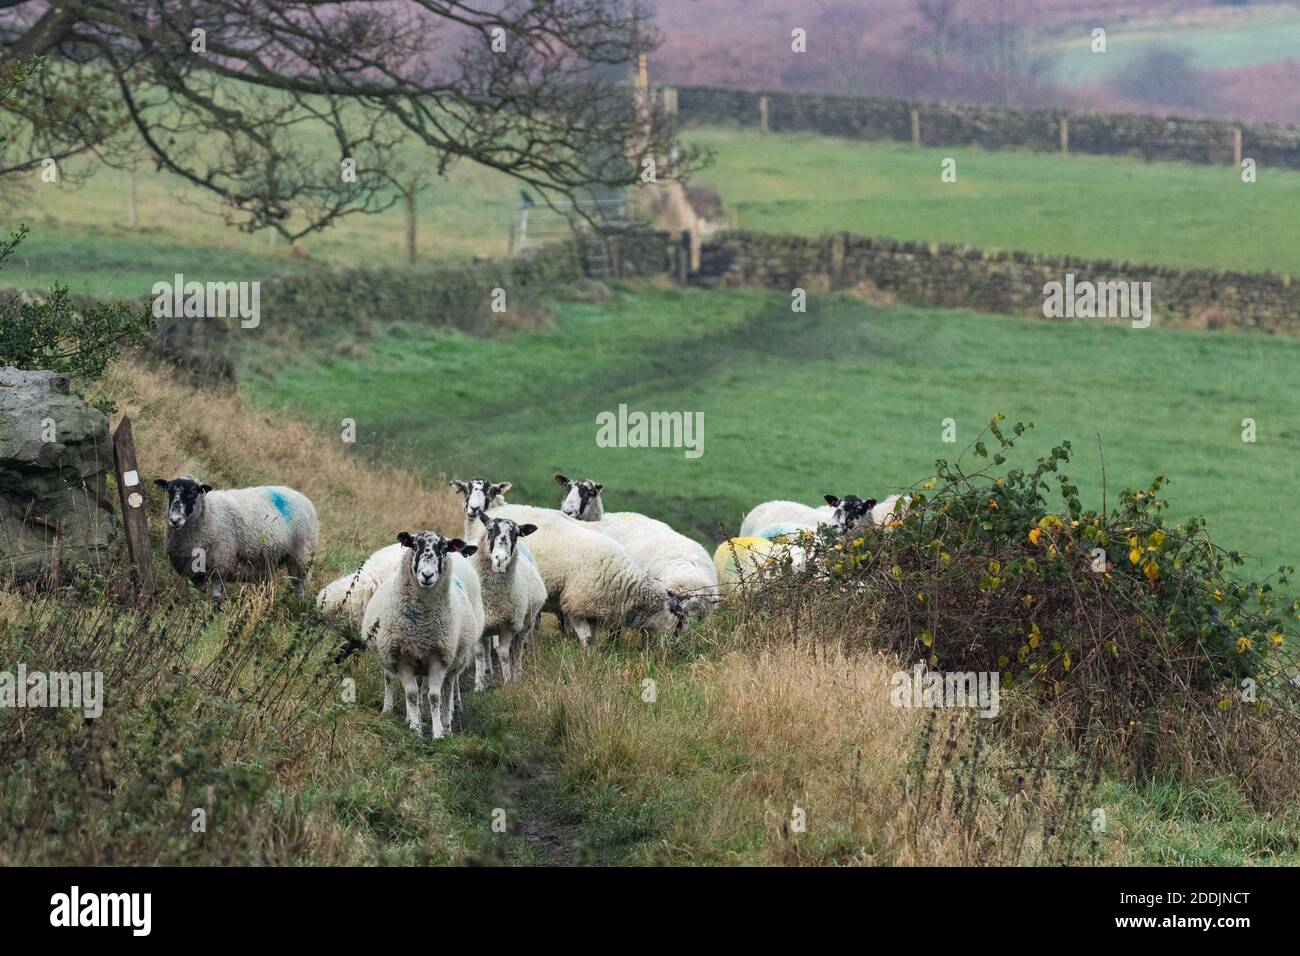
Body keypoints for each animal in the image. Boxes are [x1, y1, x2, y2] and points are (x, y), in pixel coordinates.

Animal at [153, 476, 319, 600]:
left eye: (193, 492)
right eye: (169, 491)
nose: (174, 520)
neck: (210, 514)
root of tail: (301, 496)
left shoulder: (221, 564)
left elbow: (215, 598)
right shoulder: (195, 573)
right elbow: (201, 596)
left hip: (300, 555)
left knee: (299, 585)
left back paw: (298, 604)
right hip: (268, 562)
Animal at [363, 531, 484, 738]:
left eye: (444, 549)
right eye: (414, 545)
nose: (427, 575)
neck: (421, 626)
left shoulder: (439, 657)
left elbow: (434, 696)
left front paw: (438, 733)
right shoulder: (402, 657)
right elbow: (411, 694)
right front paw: (415, 728)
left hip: (453, 662)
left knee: (447, 688)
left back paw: (447, 722)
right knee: (397, 681)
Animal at [468, 513, 547, 684]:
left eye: (516, 534)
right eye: (490, 529)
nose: (501, 558)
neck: (491, 597)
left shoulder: (508, 624)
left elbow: (504, 654)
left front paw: (508, 681)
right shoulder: (480, 623)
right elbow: (479, 653)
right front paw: (479, 684)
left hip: (525, 622)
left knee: (517, 648)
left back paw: (517, 673)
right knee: (487, 646)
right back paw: (488, 672)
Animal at [485, 503, 685, 645]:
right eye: (677, 618)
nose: (675, 647)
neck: (621, 580)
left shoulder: (594, 610)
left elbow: (593, 637)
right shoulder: (575, 604)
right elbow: (586, 637)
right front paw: (586, 656)